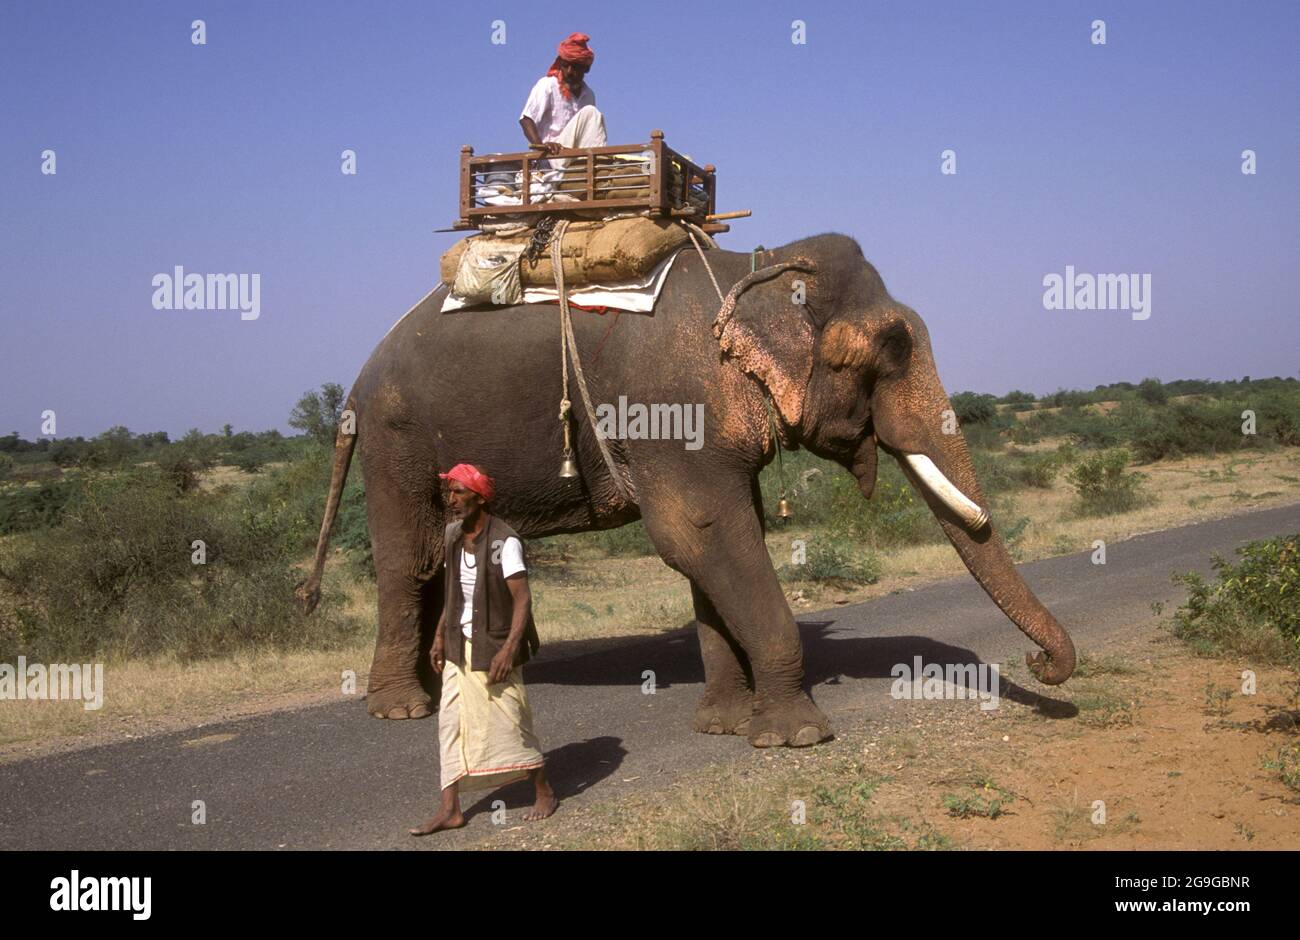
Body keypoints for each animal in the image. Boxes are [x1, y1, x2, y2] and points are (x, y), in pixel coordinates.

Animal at [296, 232, 1077, 748]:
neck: (755, 273)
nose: (1043, 665)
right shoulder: (673, 407)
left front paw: (725, 725)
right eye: (887, 351)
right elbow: (702, 533)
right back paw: (403, 711)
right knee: (411, 559)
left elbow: (715, 543)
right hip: (396, 440)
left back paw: (441, 687)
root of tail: (355, 386)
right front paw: (795, 738)